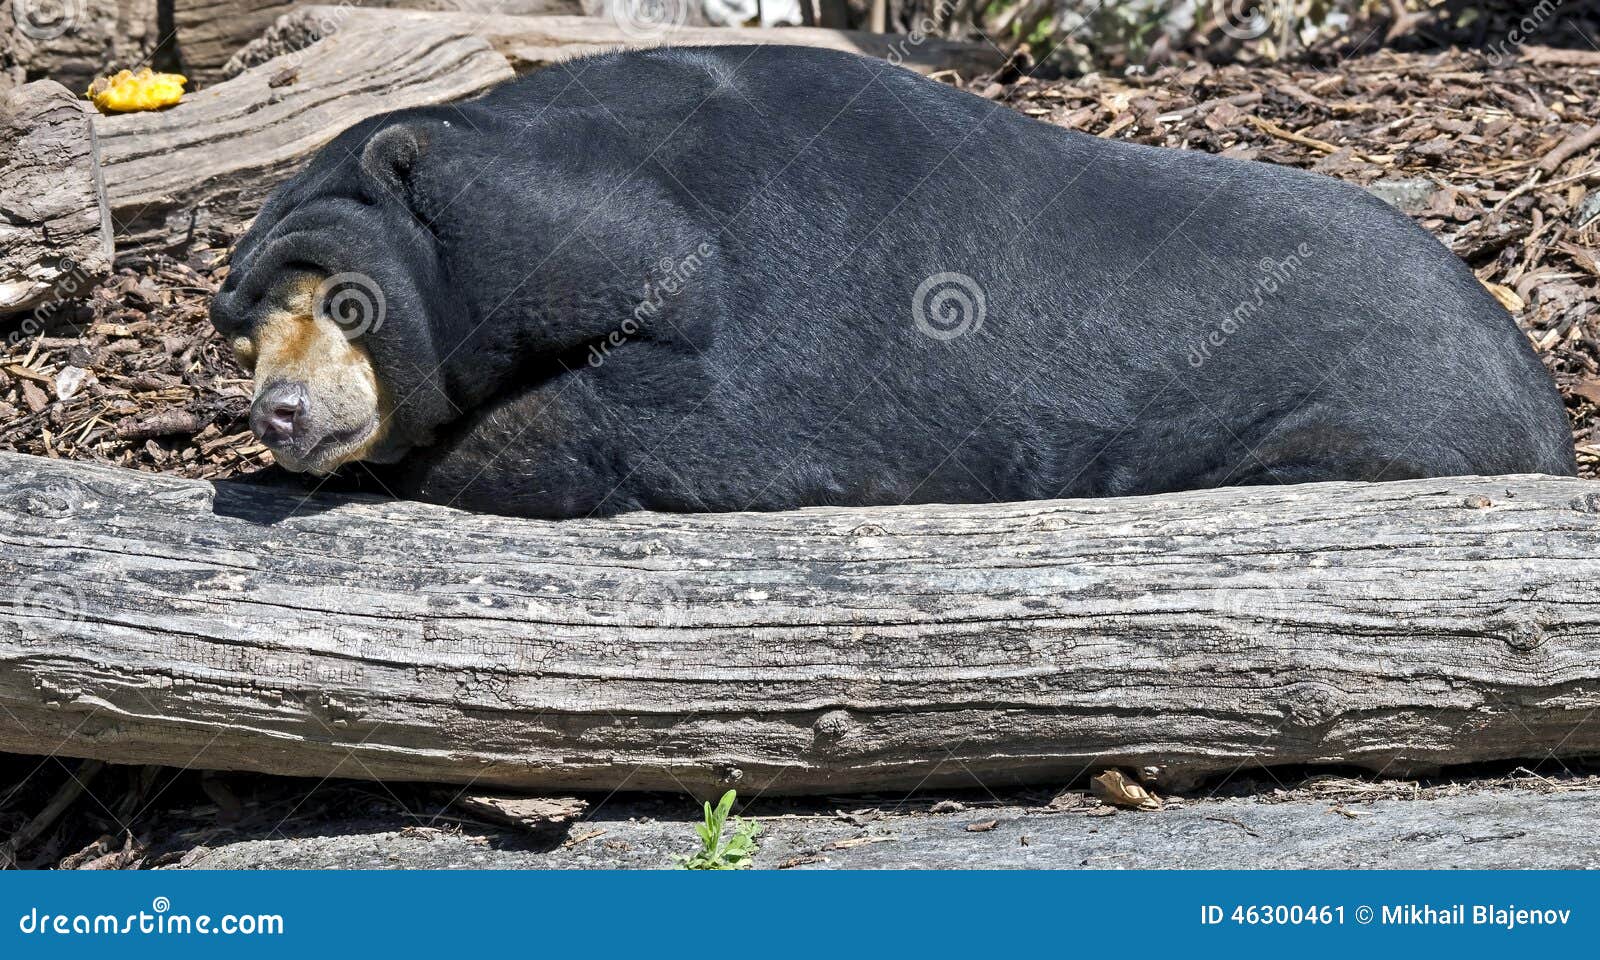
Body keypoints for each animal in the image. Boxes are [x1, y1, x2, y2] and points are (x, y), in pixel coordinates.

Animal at [209, 44, 1576, 519]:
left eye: (346, 303)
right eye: (240, 333)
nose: (280, 416)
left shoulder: (778, 301)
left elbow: (696, 430)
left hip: (1368, 419)